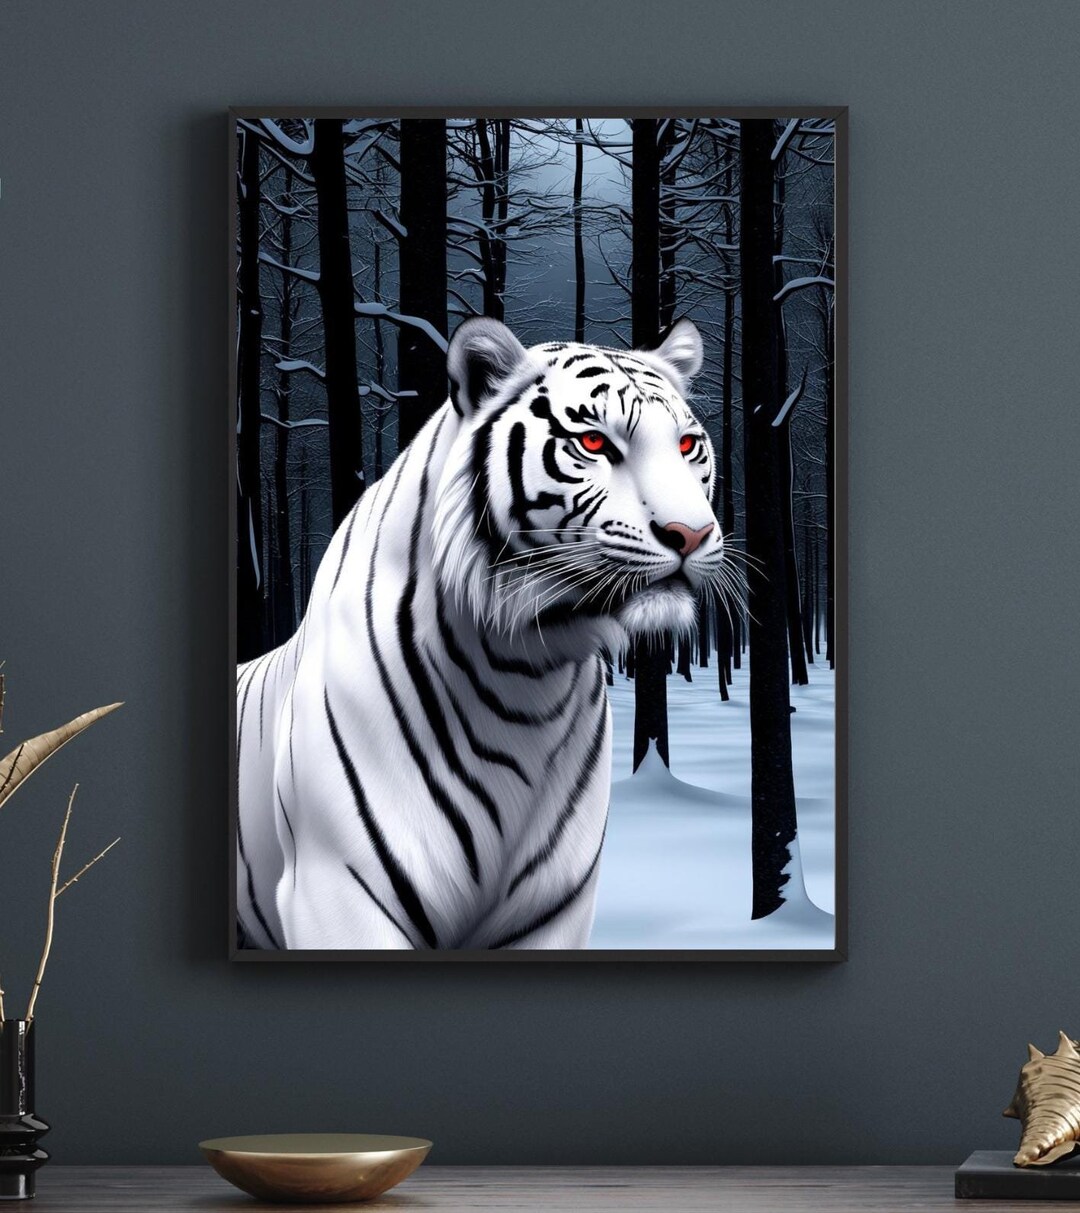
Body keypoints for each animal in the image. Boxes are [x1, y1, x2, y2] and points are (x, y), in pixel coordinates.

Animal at [236, 316, 728, 950]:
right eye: (594, 443)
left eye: (687, 446)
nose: (691, 534)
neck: (526, 669)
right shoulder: (337, 892)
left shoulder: (553, 910)